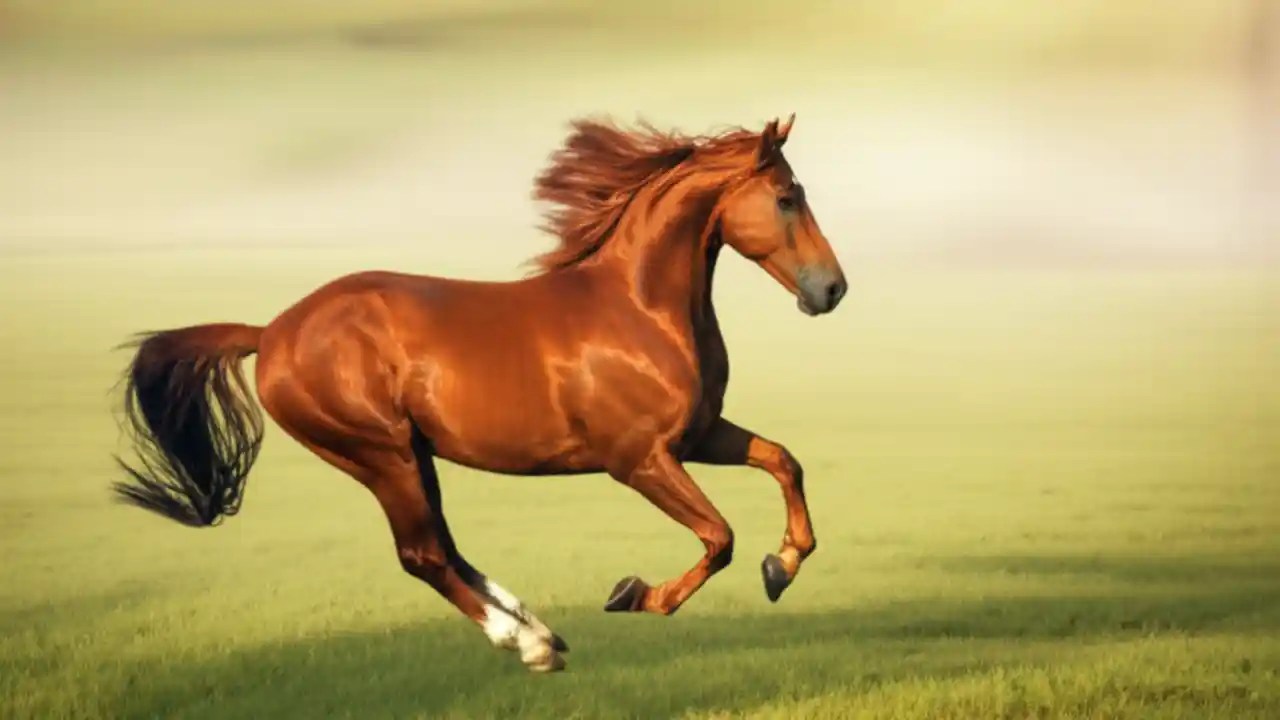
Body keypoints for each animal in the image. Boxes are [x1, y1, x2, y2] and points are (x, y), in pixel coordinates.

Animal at [112, 114, 847, 673]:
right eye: (787, 197)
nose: (832, 289)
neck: (639, 310)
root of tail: (271, 332)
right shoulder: (638, 460)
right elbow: (719, 537)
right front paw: (635, 594)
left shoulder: (699, 435)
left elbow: (784, 461)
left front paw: (782, 565)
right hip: (379, 454)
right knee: (424, 554)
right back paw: (529, 646)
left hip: (411, 455)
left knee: (443, 546)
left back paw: (540, 631)